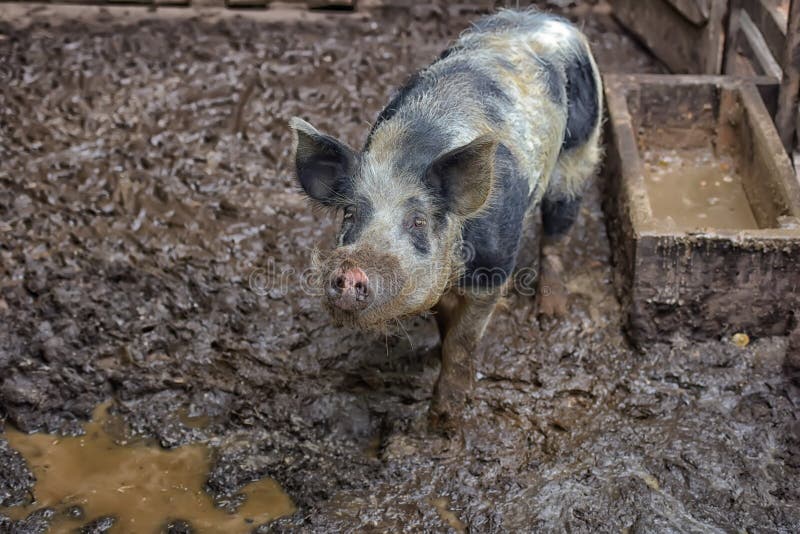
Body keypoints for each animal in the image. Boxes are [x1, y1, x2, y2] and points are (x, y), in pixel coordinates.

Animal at [289, 9, 603, 432]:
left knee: (559, 228)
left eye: (419, 221)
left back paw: (550, 314)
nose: (351, 272)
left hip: (580, 149)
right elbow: (444, 322)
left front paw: (442, 422)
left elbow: (463, 341)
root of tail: (549, 17)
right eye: (351, 213)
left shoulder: (493, 267)